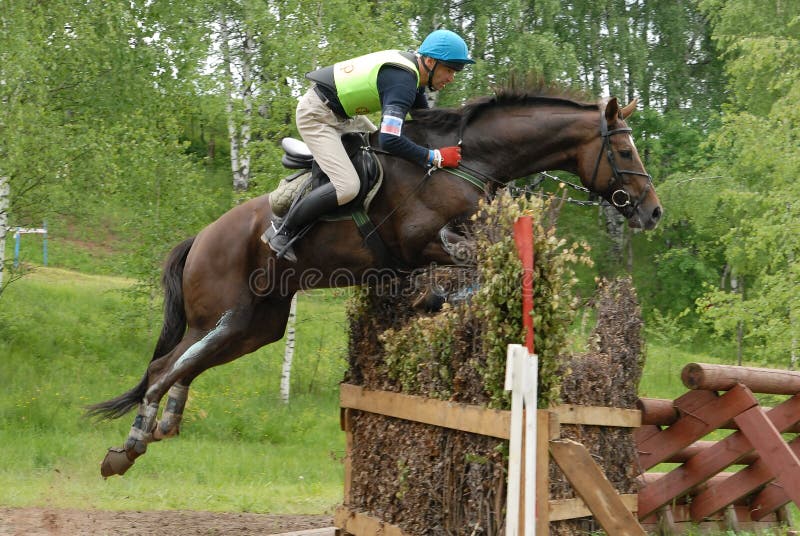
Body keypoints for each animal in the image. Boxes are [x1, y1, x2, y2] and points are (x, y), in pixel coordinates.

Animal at [87, 86, 662, 477]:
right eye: (626, 153)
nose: (653, 212)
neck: (470, 160)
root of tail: (200, 237)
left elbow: (485, 270)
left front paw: (437, 300)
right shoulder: (423, 241)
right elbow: (470, 264)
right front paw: (438, 297)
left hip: (257, 325)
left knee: (185, 363)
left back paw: (163, 425)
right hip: (224, 312)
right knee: (163, 367)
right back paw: (129, 447)